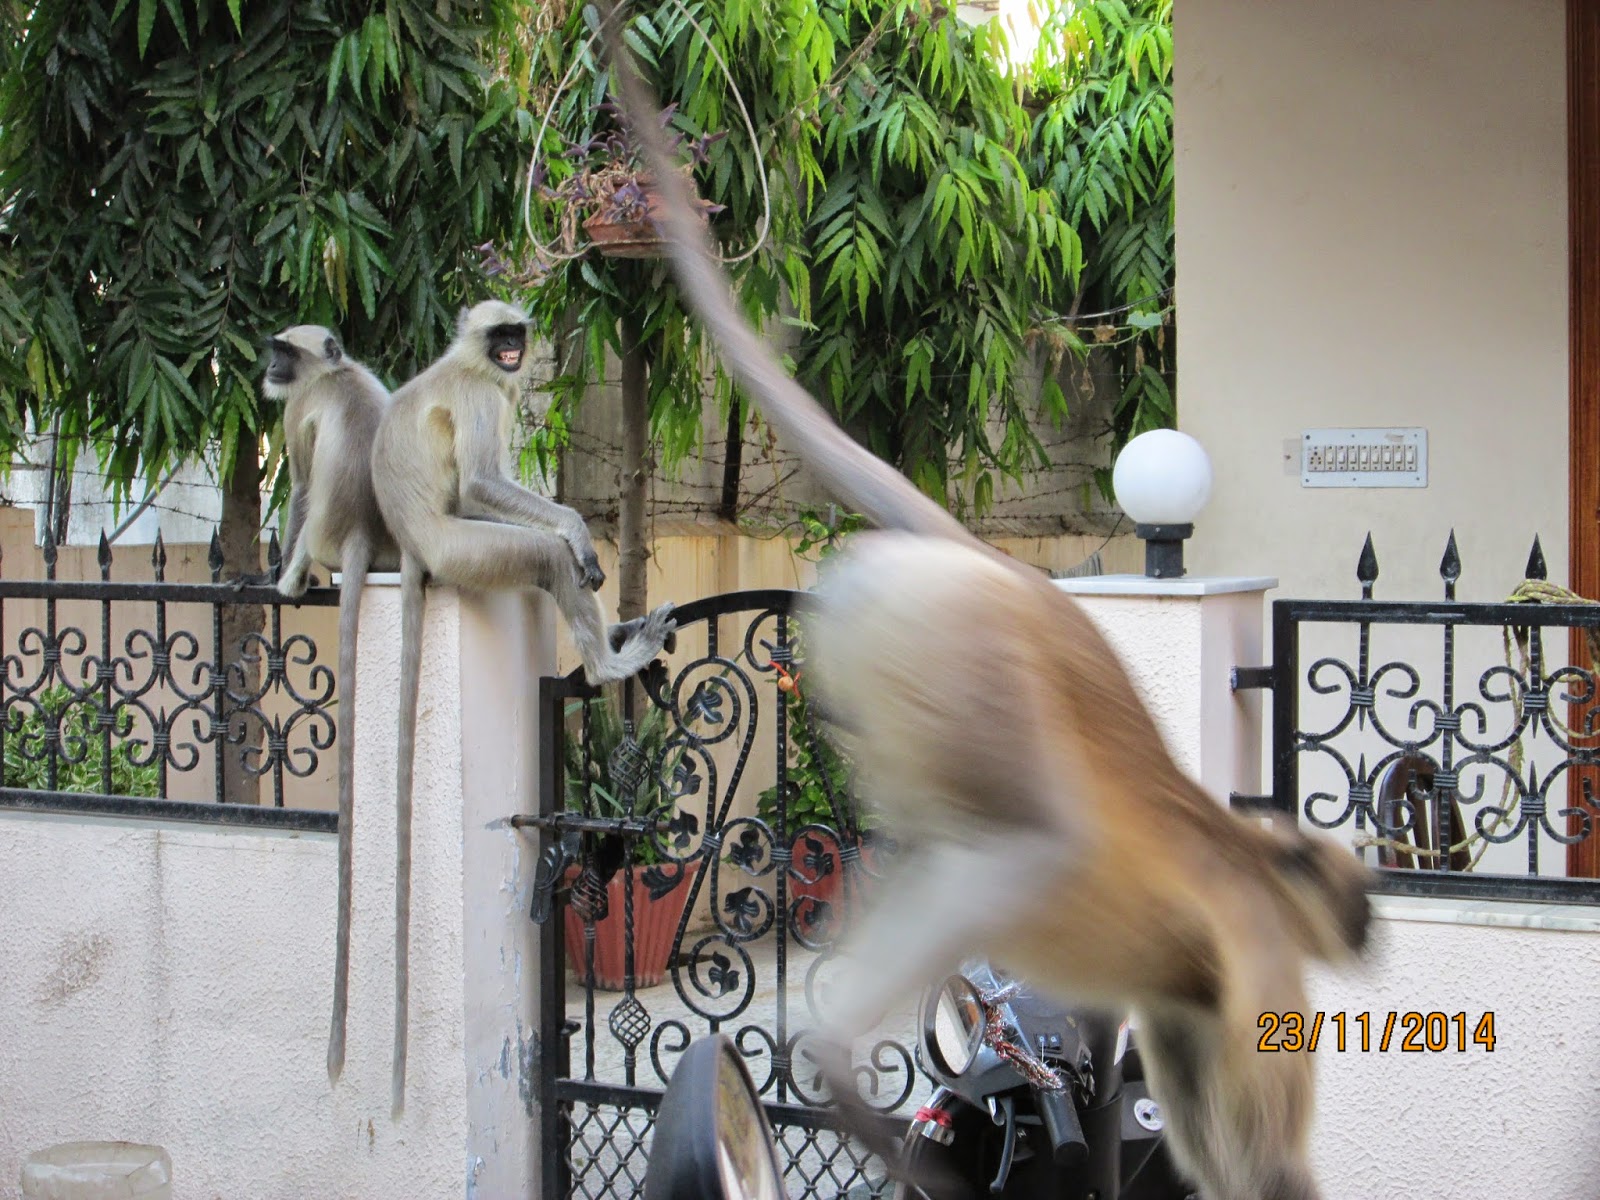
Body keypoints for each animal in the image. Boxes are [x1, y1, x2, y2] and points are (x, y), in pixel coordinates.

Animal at [370, 298, 677, 1115]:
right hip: (467, 552)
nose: (513, 352)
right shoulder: (483, 395)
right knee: (538, 555)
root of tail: (415, 548)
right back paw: (607, 658)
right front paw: (575, 530)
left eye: (517, 336)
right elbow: (484, 481)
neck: (472, 364)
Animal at [603, 37, 1373, 1200]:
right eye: (1355, 900)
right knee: (1031, 850)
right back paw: (853, 1081)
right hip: (964, 666)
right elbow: (1267, 1157)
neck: (1246, 861)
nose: (1369, 936)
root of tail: (1001, 578)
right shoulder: (1260, 958)